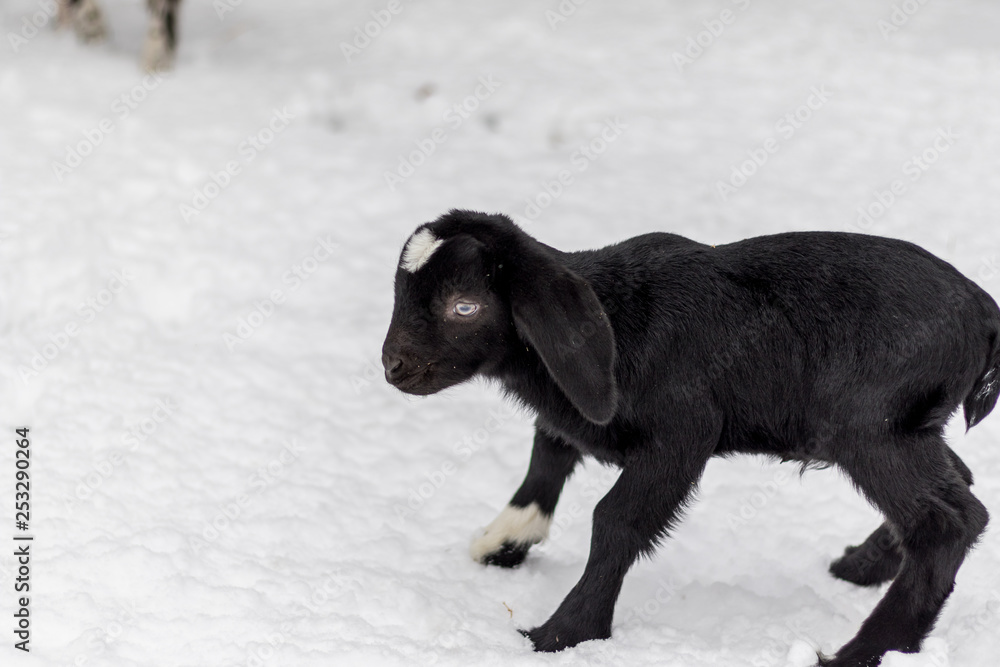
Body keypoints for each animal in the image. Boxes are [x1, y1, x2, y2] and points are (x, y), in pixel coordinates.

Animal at [381, 210, 1000, 666]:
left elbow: (616, 520)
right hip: (901, 428)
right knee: (959, 483)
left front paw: (561, 633)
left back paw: (861, 652)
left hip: (872, 429)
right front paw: (504, 541)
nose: (393, 366)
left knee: (950, 521)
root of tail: (983, 314)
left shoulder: (682, 435)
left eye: (464, 306)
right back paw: (861, 568)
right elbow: (549, 452)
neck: (618, 316)